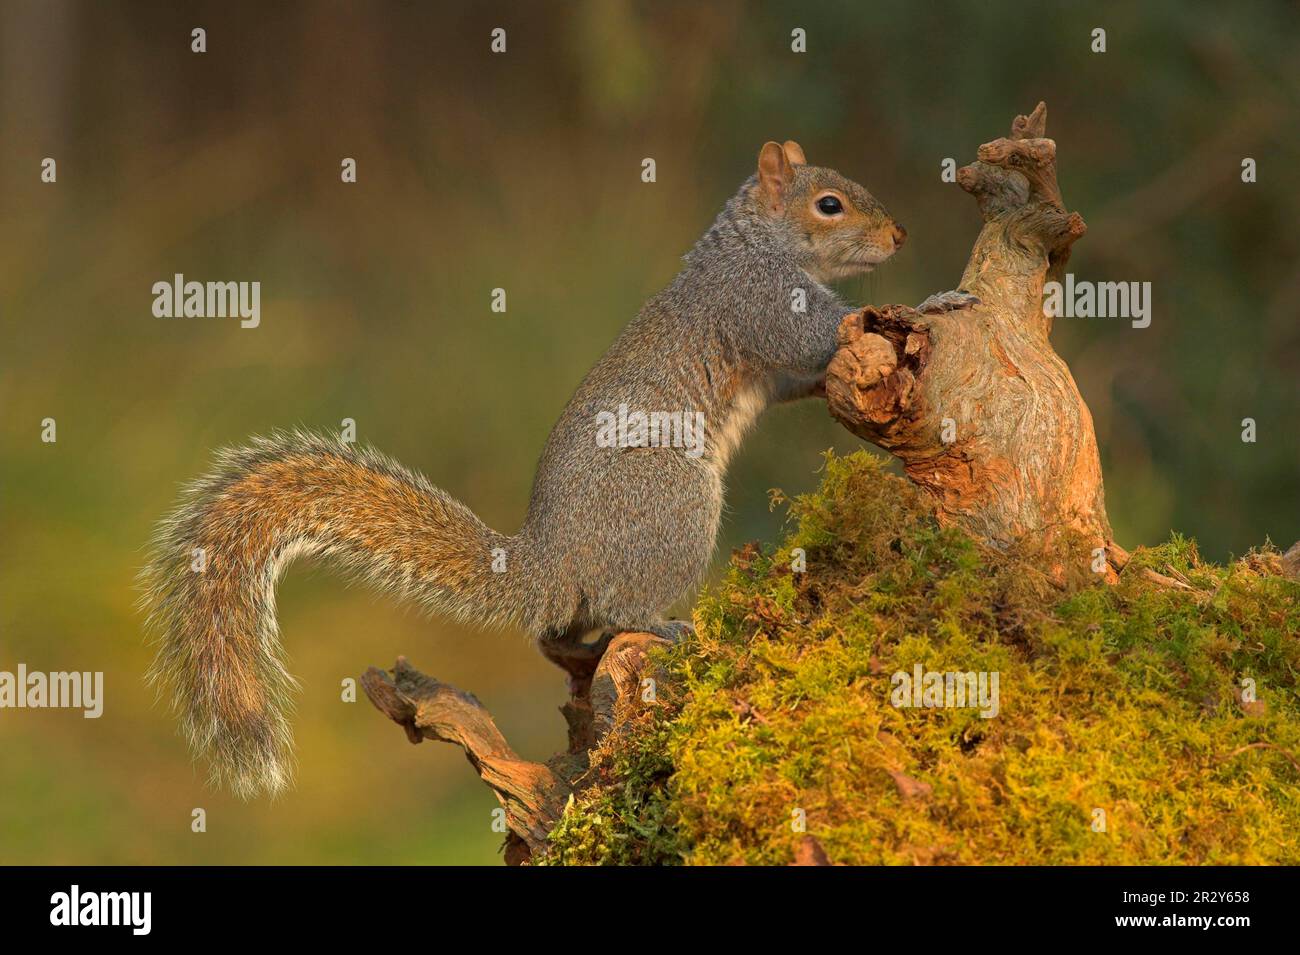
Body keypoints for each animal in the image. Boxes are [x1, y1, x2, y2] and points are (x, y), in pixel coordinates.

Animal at [142, 140, 968, 799]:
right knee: (621, 603)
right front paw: (936, 296)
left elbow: (810, 373)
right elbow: (821, 335)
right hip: (674, 503)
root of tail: (553, 553)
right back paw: (667, 623)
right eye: (829, 204)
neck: (750, 243)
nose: (900, 233)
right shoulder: (759, 302)